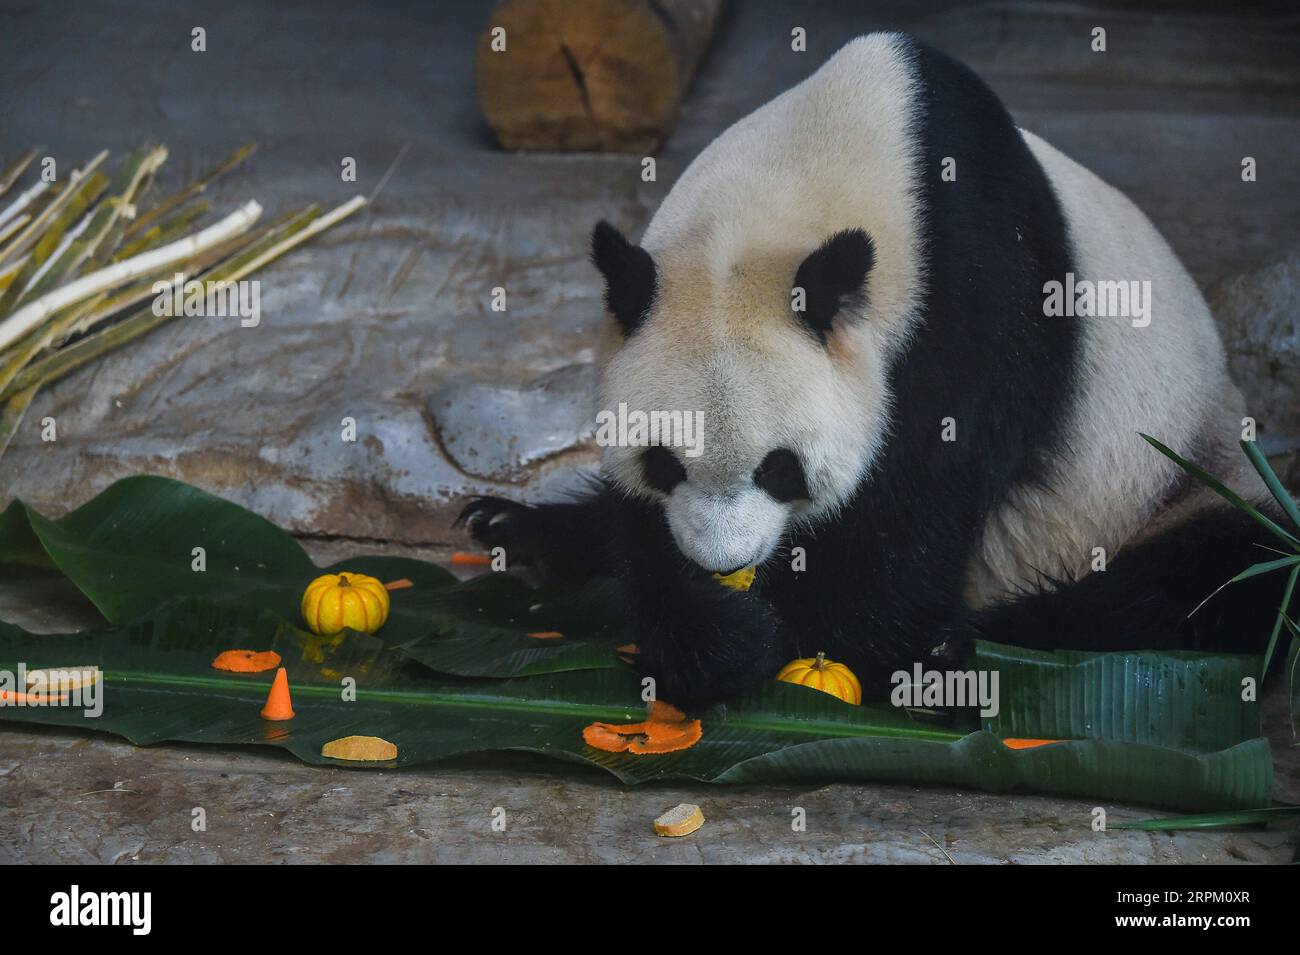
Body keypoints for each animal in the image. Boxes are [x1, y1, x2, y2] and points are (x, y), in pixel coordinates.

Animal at [460, 33, 1283, 710]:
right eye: (664, 462)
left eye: (781, 468)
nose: (727, 562)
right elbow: (641, 528)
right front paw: (712, 632)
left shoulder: (978, 297)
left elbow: (915, 508)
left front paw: (802, 637)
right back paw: (518, 529)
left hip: (1175, 475)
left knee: (1217, 579)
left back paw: (977, 642)